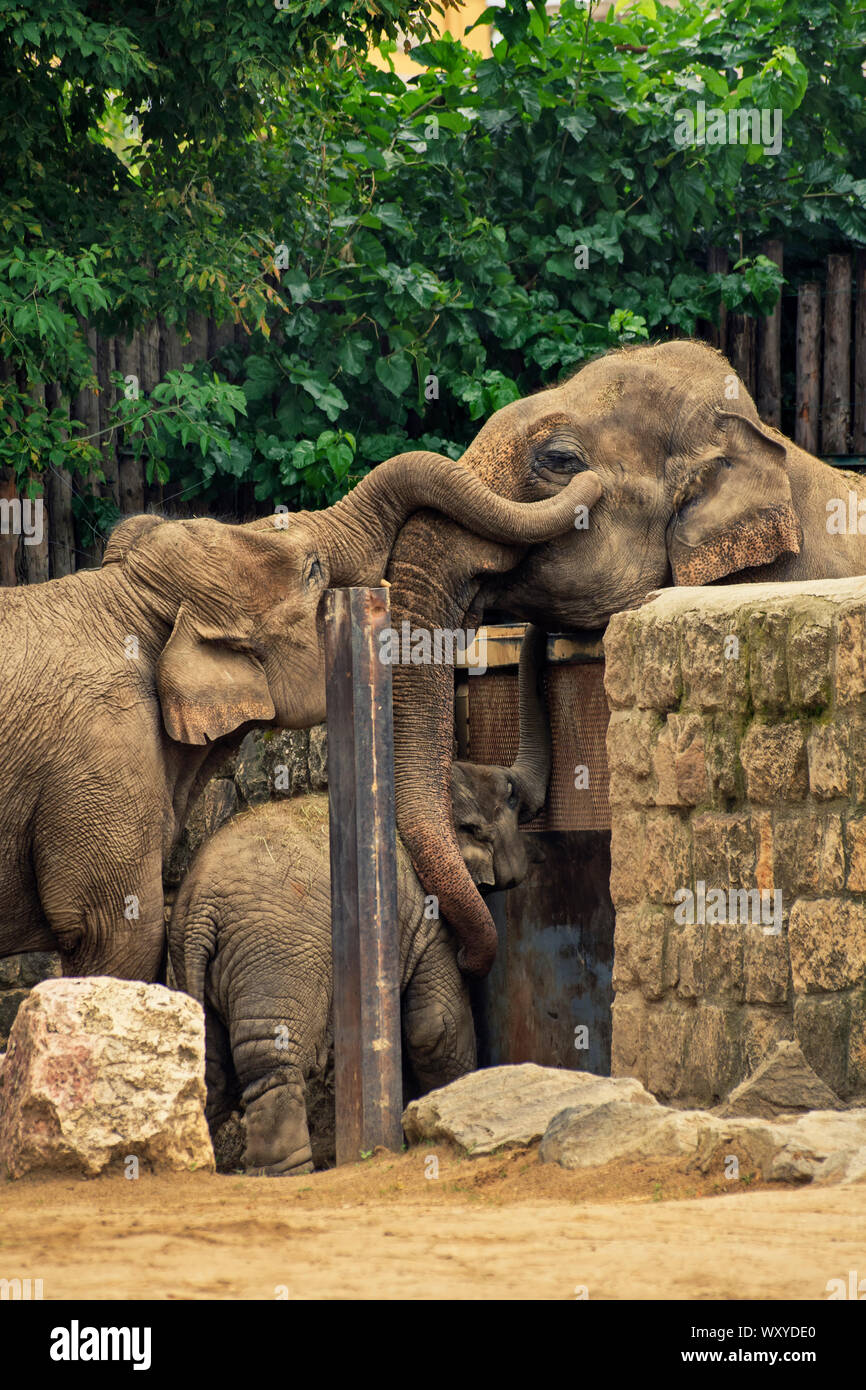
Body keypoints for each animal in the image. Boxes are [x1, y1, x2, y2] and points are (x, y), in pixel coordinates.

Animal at [168, 626, 551, 1175]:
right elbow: (436, 1023)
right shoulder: (427, 915)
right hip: (277, 962)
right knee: (274, 1061)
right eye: (513, 800)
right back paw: (287, 1170)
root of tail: (200, 908)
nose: (531, 631)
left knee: (214, 1066)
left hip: (190, 958)